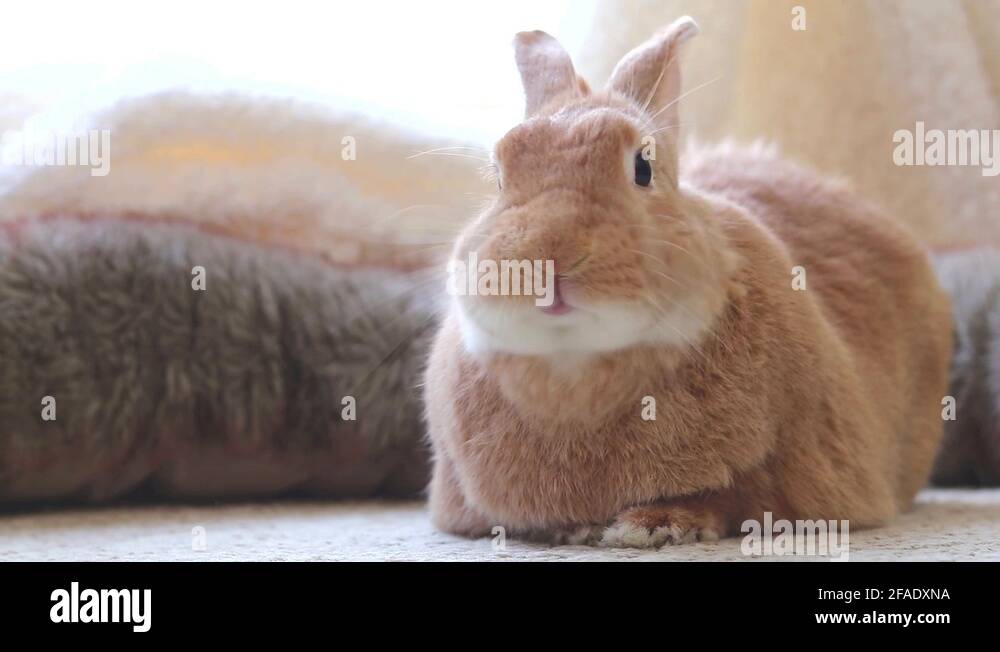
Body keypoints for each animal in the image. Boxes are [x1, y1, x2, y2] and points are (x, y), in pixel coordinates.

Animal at [423, 17, 954, 547]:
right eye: (499, 176)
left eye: (643, 167)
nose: (547, 259)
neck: (578, 371)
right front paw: (579, 527)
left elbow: (736, 494)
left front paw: (651, 525)